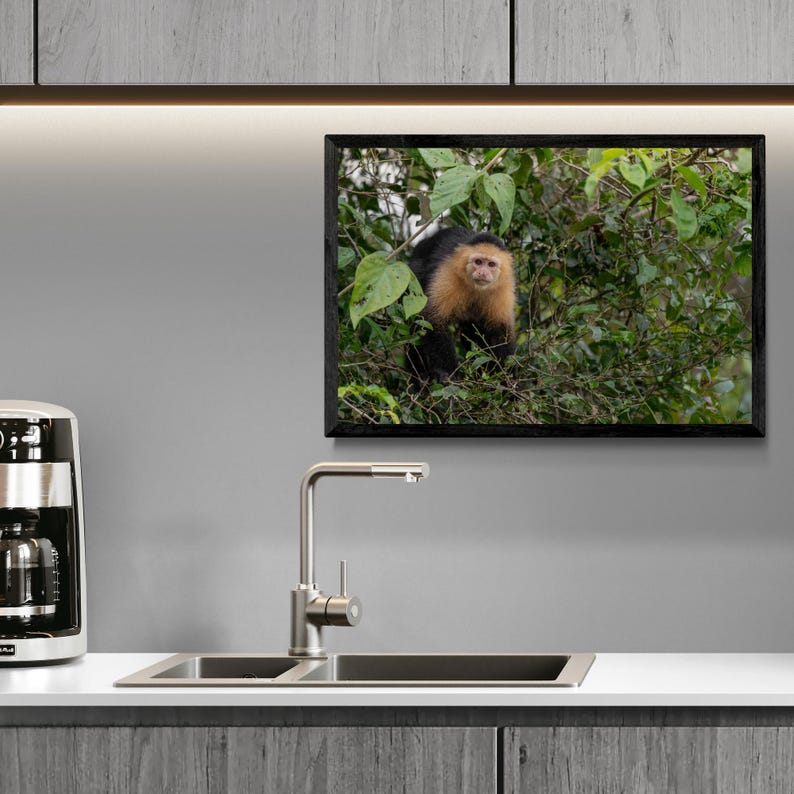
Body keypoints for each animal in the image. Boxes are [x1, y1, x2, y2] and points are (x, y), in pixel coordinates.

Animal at [406, 227, 516, 382]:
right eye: (478, 262)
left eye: (491, 265)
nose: (483, 273)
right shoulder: (448, 273)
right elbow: (432, 320)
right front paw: (449, 371)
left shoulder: (503, 286)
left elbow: (501, 332)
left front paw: (507, 379)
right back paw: (418, 374)